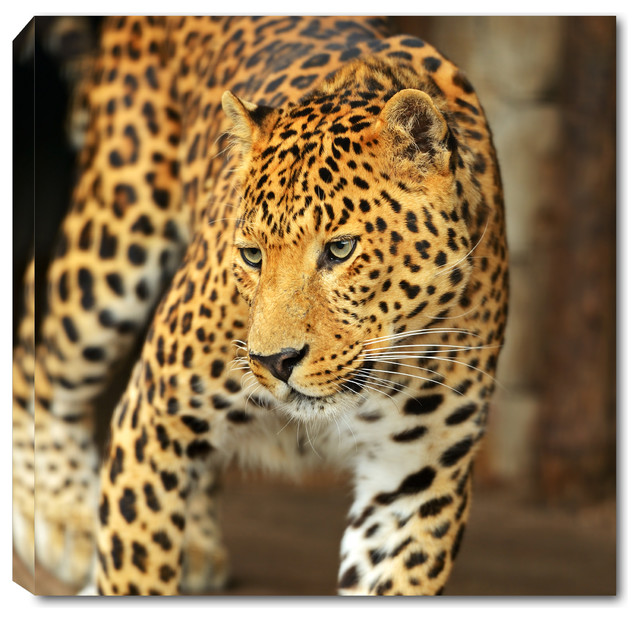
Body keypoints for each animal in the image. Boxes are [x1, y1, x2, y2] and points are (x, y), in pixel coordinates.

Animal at [12, 16, 508, 596]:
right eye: (253, 255)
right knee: (39, 355)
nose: (275, 362)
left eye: (341, 249)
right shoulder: (155, 412)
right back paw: (63, 514)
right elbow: (134, 559)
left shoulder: (414, 477)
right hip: (115, 240)